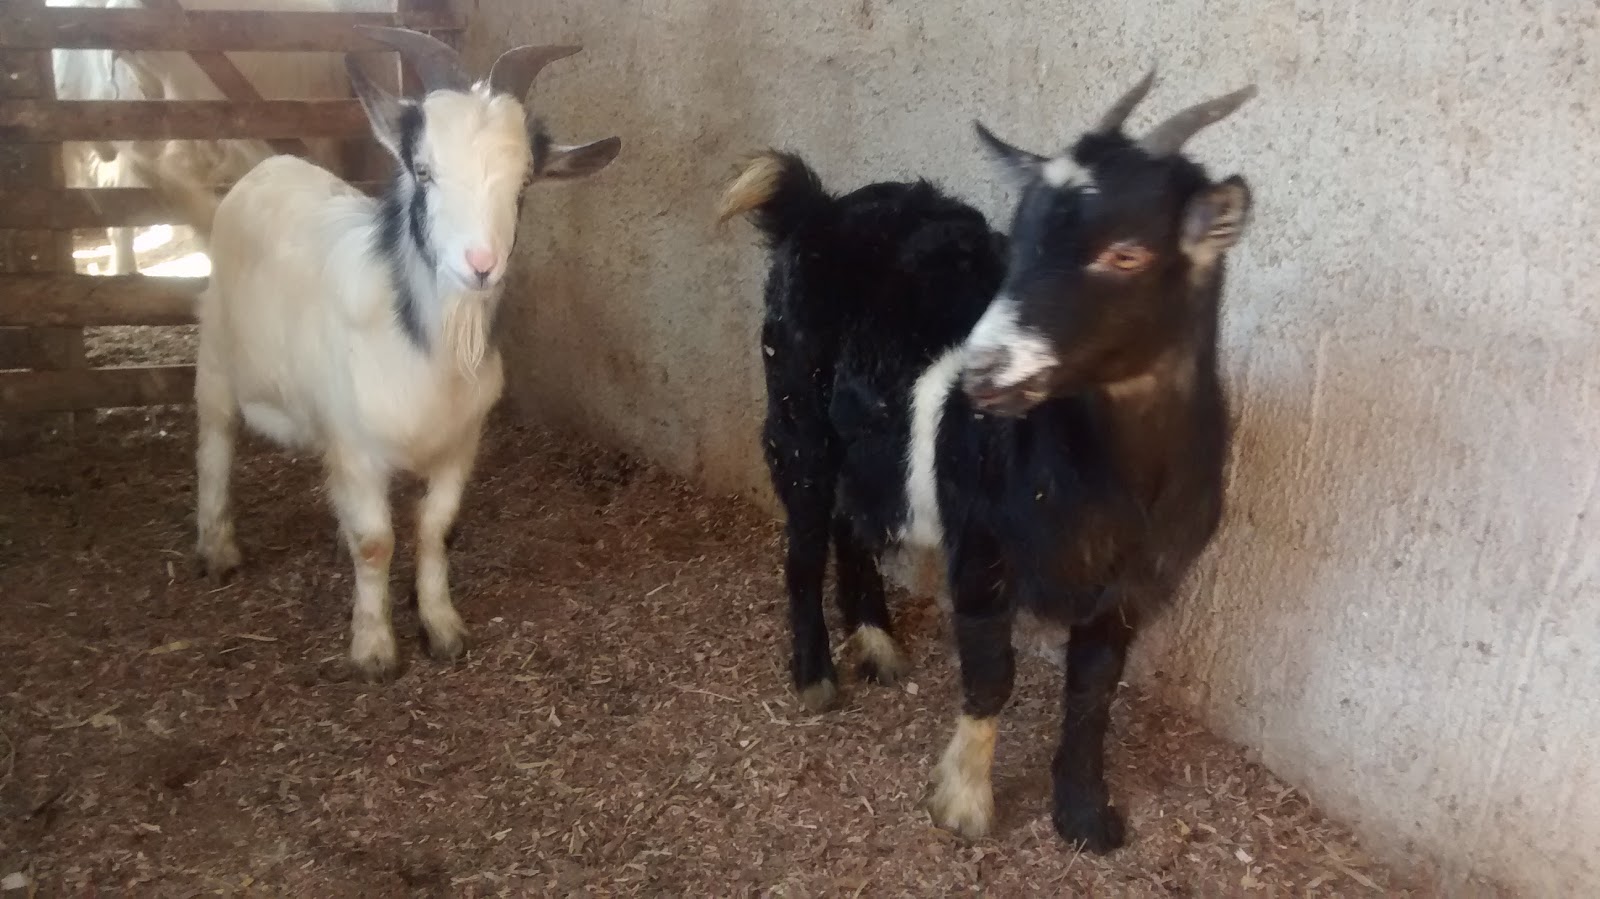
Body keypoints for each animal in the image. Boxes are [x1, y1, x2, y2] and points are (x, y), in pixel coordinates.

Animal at [136, 26, 621, 680]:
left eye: (524, 183)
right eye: (423, 170)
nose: (481, 265)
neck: (426, 348)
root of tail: (265, 169)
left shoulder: (460, 444)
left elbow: (435, 527)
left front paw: (441, 626)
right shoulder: (358, 447)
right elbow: (375, 541)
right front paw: (373, 648)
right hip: (215, 349)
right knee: (215, 439)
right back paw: (217, 549)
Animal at [719, 71, 1254, 851]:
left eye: (1126, 253)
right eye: (1023, 239)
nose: (983, 370)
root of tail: (820, 207)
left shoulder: (1127, 585)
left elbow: (1093, 690)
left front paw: (1086, 816)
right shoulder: (981, 548)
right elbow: (992, 673)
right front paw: (965, 801)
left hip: (868, 437)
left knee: (854, 517)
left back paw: (875, 640)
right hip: (795, 409)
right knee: (805, 536)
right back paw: (816, 673)